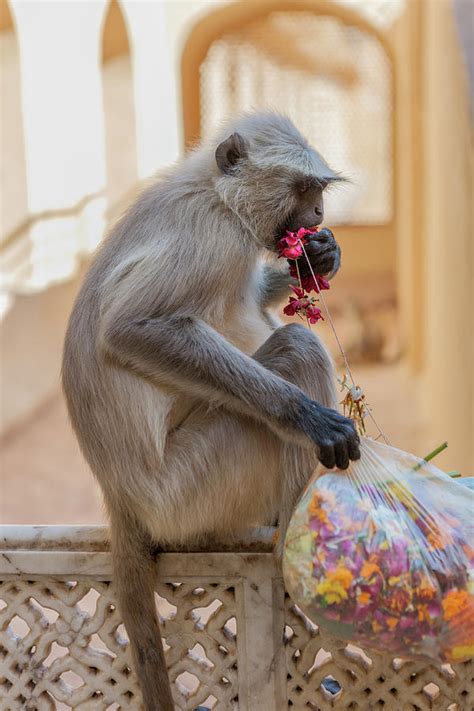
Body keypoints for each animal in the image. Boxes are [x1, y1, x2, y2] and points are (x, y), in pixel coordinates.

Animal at [62, 112, 360, 710]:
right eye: (304, 189)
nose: (319, 215)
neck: (214, 193)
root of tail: (120, 497)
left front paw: (319, 259)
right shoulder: (212, 236)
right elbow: (131, 328)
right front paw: (308, 418)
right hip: (195, 486)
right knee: (297, 347)